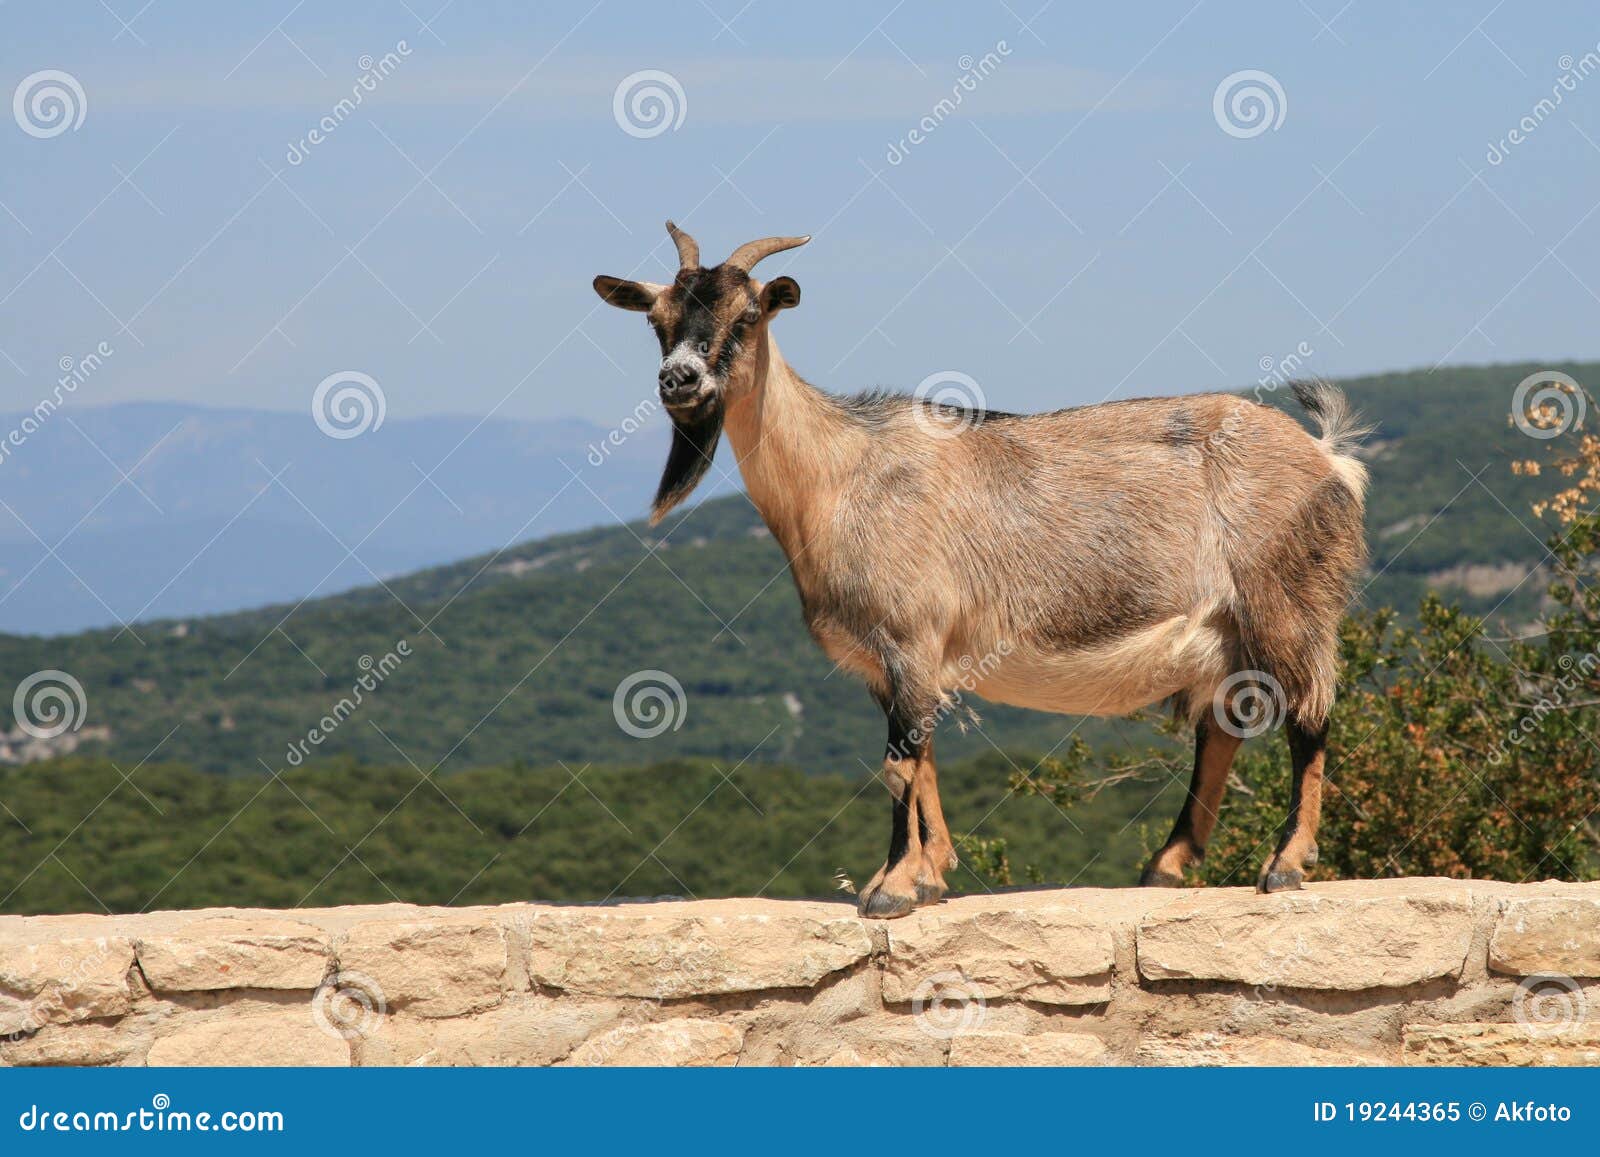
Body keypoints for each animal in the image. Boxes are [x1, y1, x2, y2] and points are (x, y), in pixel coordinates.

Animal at [594, 224, 1369, 919]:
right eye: (658, 319)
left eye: (748, 315)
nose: (680, 380)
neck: (838, 474)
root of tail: (1328, 457)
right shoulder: (896, 662)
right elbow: (922, 759)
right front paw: (928, 875)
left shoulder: (909, 637)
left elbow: (899, 764)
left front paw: (892, 889)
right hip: (1228, 631)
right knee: (1224, 729)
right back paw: (1165, 868)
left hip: (1287, 599)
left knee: (1309, 716)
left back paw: (1284, 866)